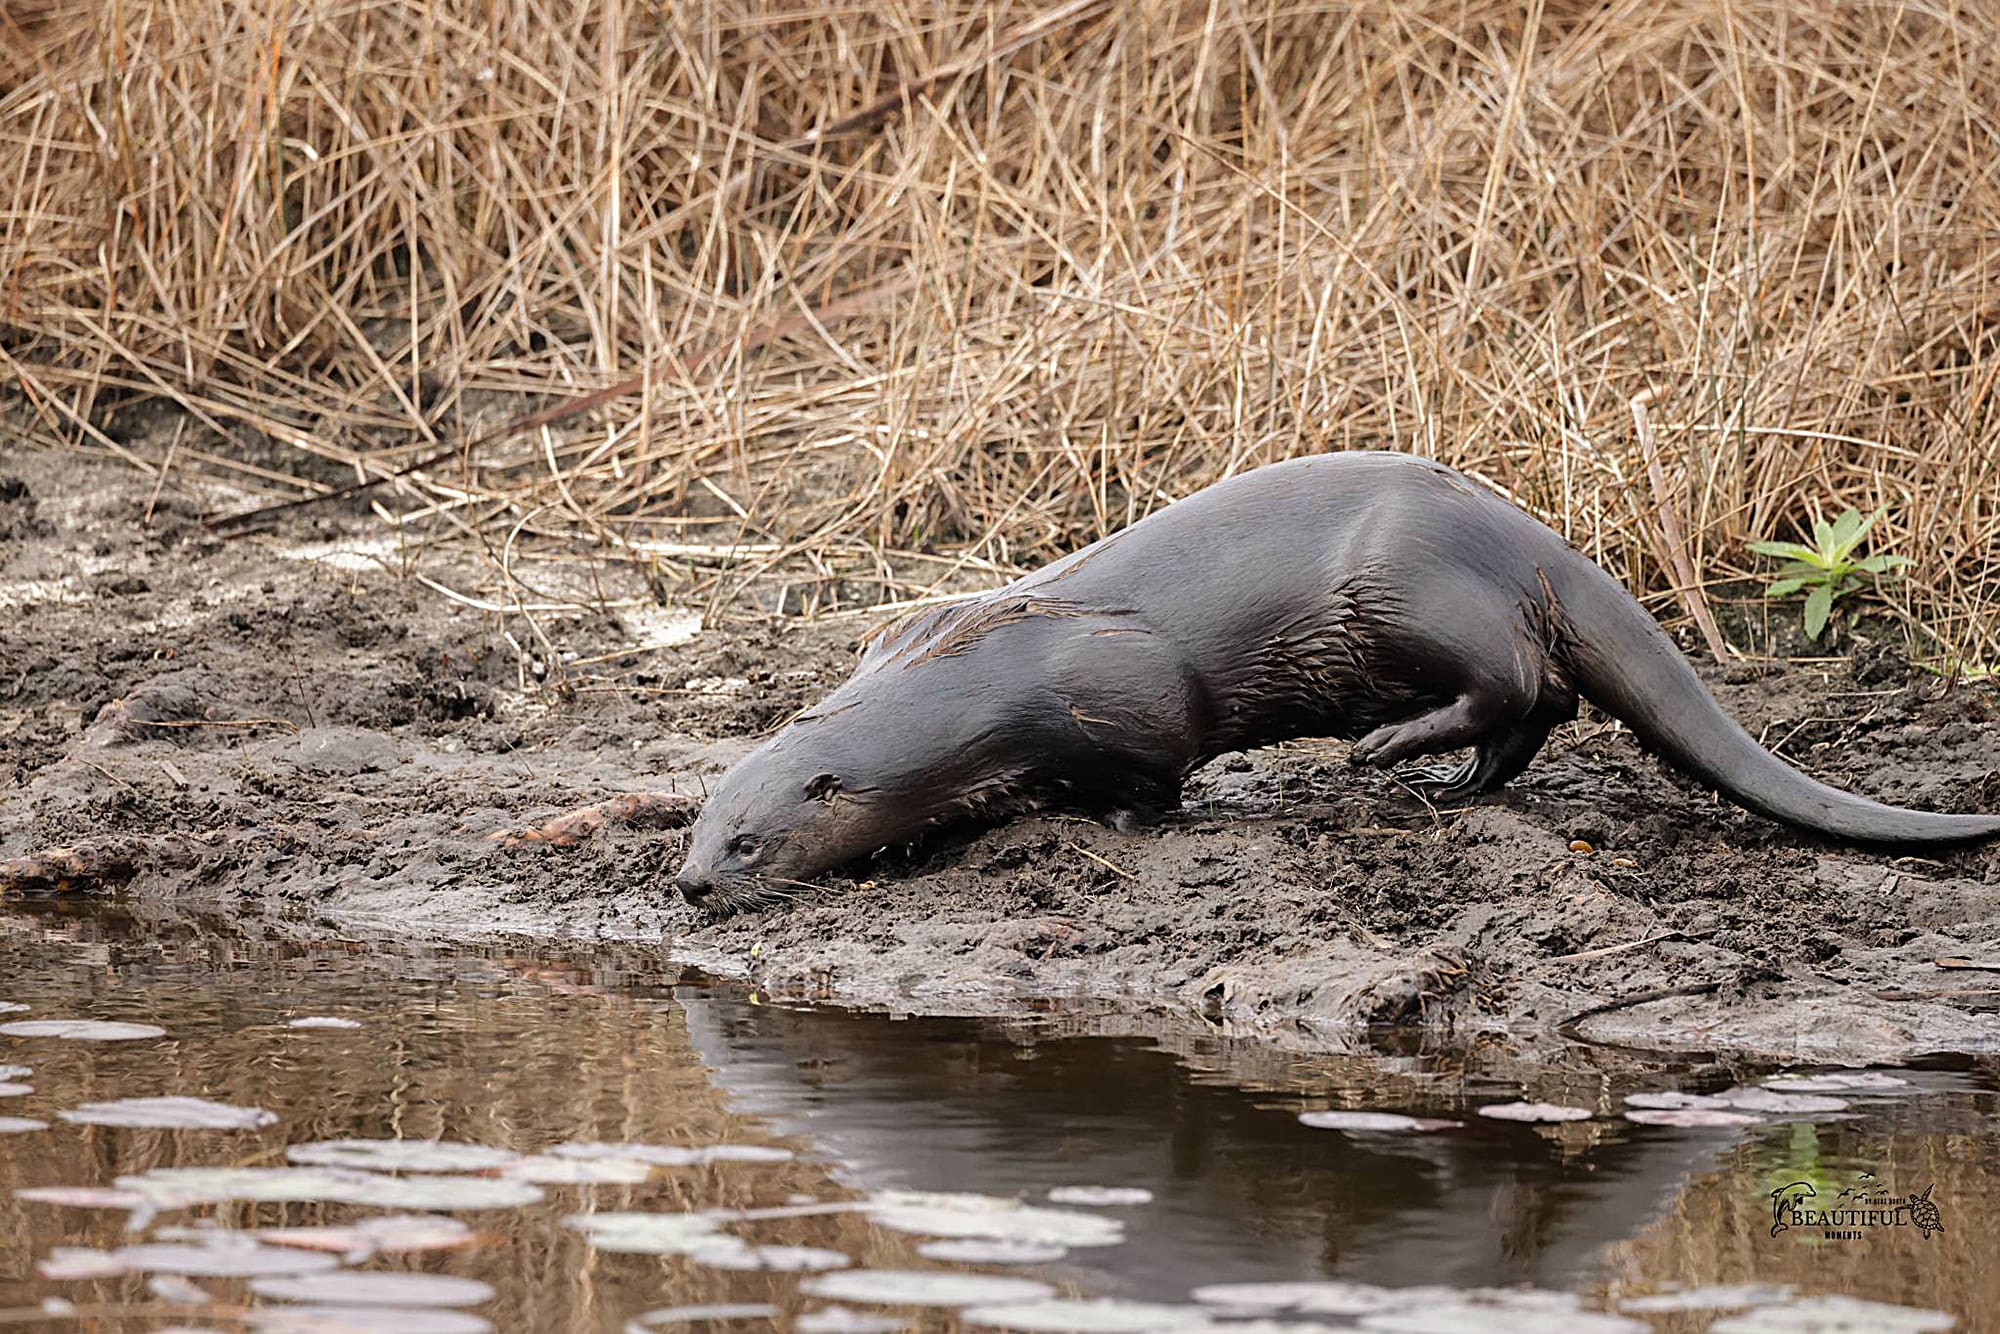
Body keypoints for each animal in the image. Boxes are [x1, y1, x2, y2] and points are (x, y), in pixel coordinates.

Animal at [675, 452, 1999, 911]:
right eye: (695, 824)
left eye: (746, 840)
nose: (688, 884)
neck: (973, 678)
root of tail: (1536, 539)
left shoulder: (1124, 694)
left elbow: (1152, 773)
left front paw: (1098, 819)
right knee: (1545, 703)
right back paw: (1457, 786)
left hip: (1402, 591)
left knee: (1519, 685)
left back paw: (1385, 757)